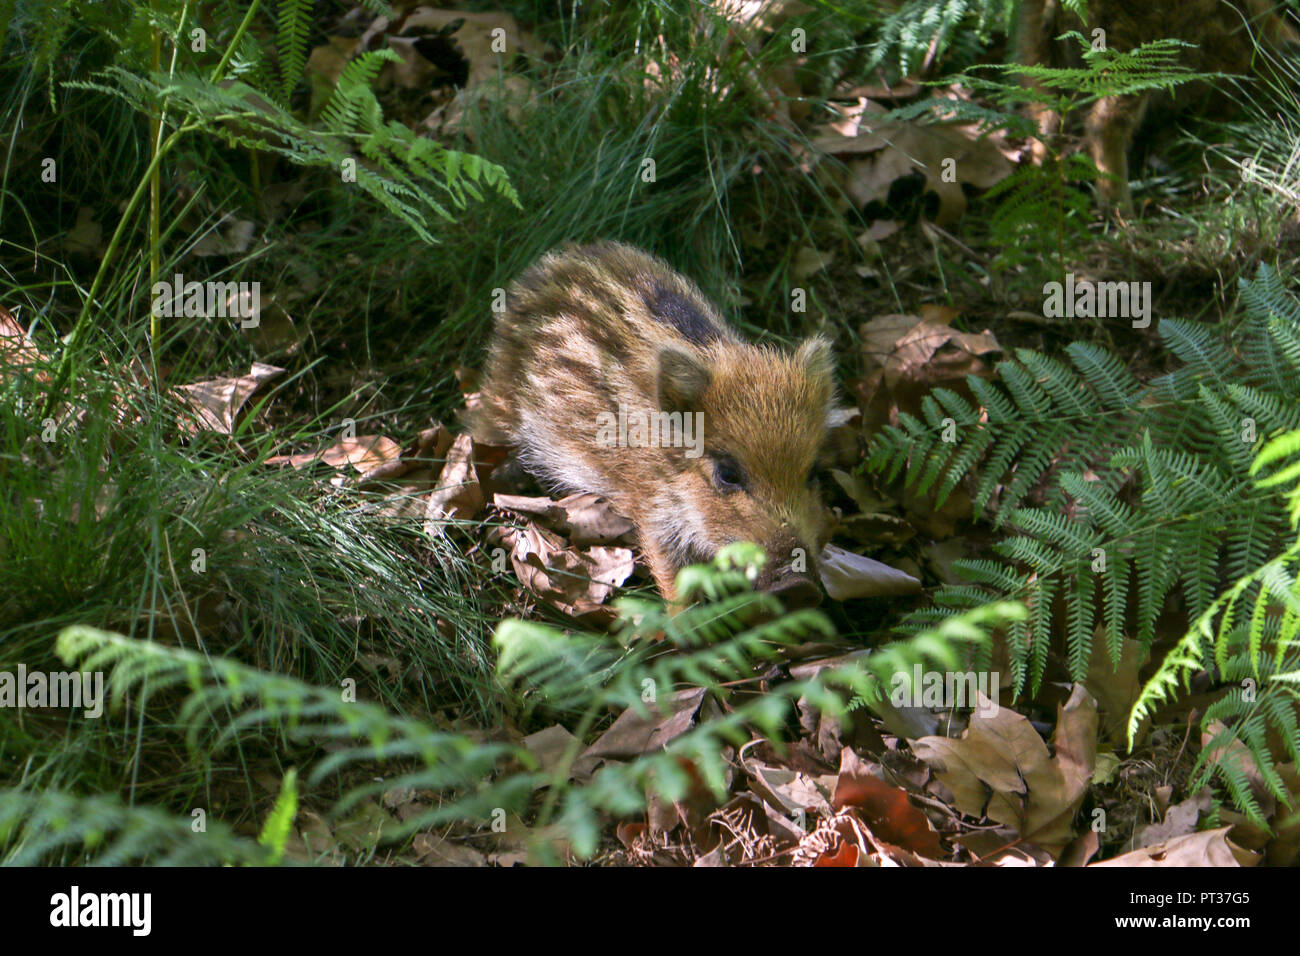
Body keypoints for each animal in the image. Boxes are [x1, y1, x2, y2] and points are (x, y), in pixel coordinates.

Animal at [472, 241, 839, 607]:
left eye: (813, 473)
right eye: (728, 473)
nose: (799, 586)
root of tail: (548, 265)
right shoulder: (654, 511)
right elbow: (675, 579)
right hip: (498, 405)